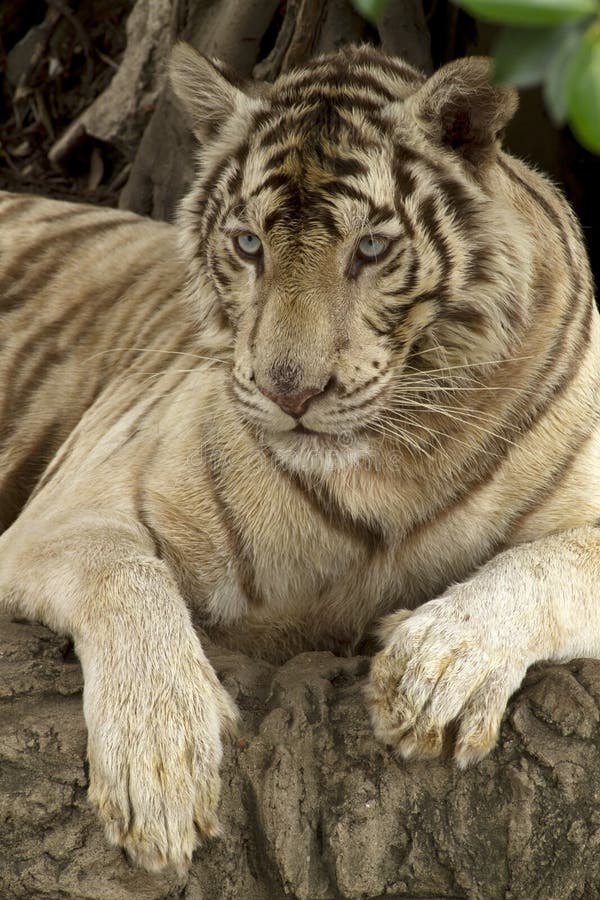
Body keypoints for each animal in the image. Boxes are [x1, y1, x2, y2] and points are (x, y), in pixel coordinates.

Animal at [1, 41, 599, 876]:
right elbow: (130, 577)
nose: (292, 391)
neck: (399, 461)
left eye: (369, 250)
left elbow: (554, 562)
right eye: (249, 245)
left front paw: (441, 669)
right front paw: (160, 766)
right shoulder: (72, 509)